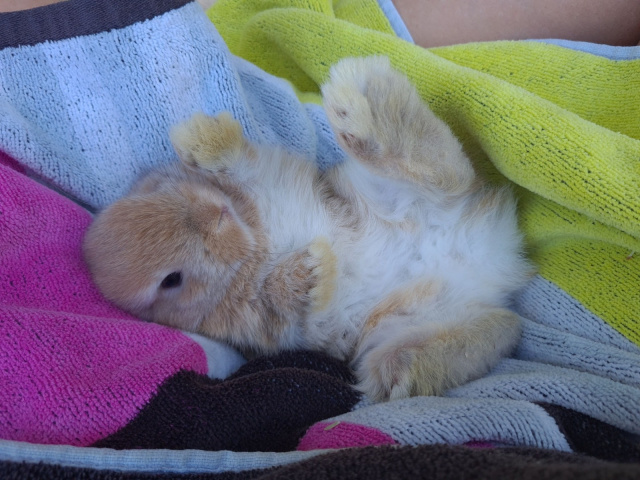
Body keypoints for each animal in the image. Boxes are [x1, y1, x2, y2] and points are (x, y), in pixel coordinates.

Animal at [83, 56, 534, 402]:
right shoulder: (266, 322)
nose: (216, 217)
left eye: (161, 191)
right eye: (171, 281)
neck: (253, 240)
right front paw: (314, 269)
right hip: (412, 321)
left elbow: (239, 160)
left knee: (447, 172)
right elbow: (281, 298)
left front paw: (197, 138)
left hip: (390, 192)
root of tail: (492, 262)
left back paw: (359, 99)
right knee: (497, 326)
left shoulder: (266, 177)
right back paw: (397, 376)